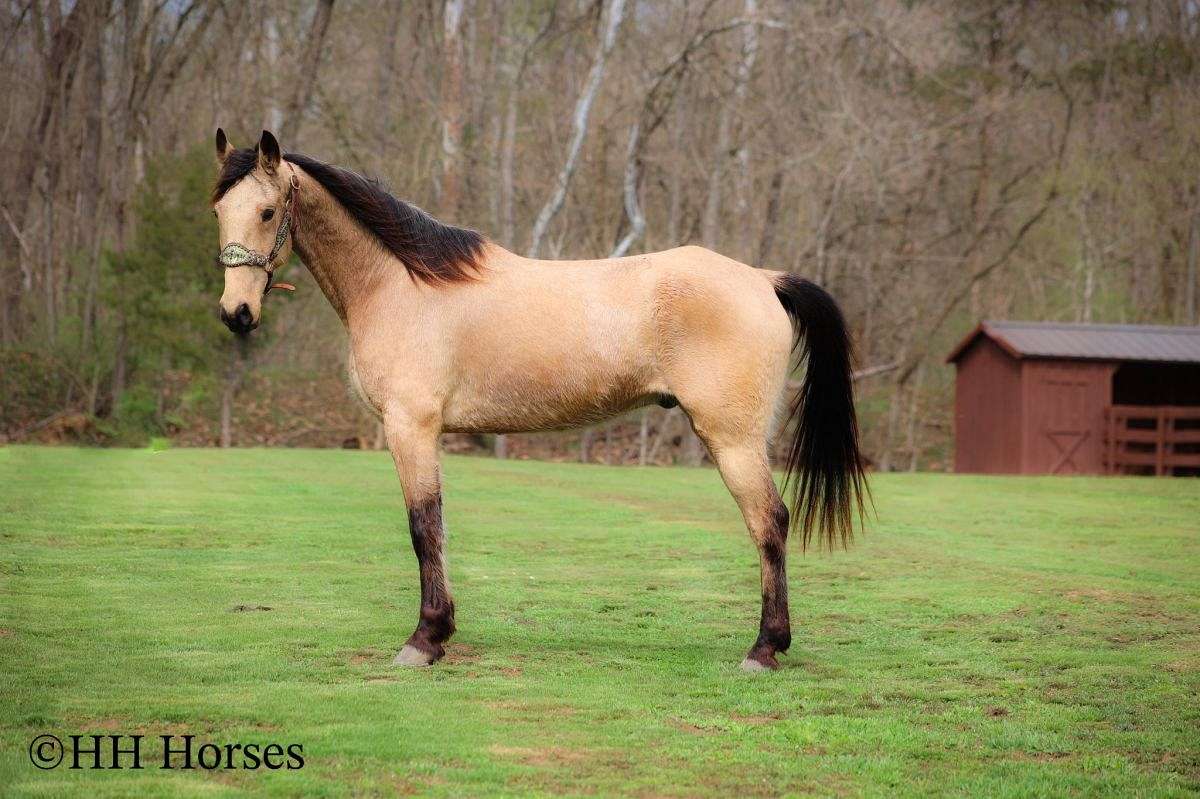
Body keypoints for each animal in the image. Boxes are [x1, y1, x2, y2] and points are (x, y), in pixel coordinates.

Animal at [211, 129, 867, 672]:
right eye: (219, 211)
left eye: (267, 211)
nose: (235, 313)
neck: (401, 284)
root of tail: (763, 279)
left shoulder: (411, 427)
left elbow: (425, 527)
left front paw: (425, 640)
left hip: (733, 440)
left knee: (769, 522)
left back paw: (764, 649)